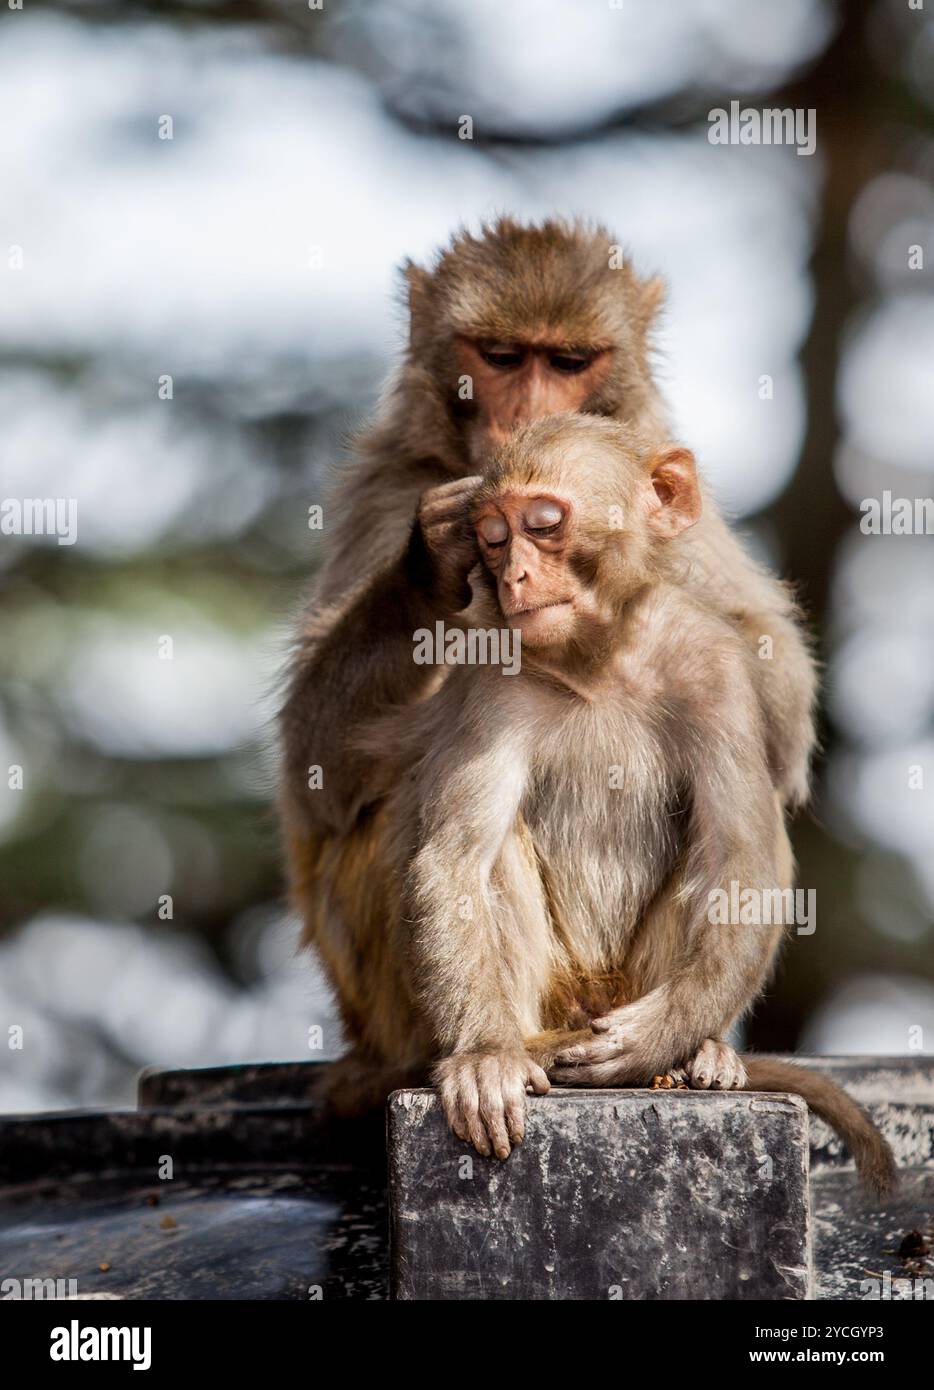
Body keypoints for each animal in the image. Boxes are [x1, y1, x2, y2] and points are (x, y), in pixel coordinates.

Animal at [278, 217, 818, 1116]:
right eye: (500, 357)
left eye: (568, 362)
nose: (531, 415)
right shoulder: (385, 487)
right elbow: (314, 773)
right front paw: (430, 559)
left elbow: (773, 714)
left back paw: (696, 1052)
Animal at [366, 413, 893, 1196]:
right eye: (491, 537)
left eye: (544, 524)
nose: (514, 576)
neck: (600, 660)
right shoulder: (495, 678)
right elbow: (455, 859)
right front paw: (485, 1056)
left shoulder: (716, 666)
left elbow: (740, 859)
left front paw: (662, 1034)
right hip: (563, 988)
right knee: (493, 856)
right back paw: (527, 1047)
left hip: (625, 983)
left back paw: (695, 1055)